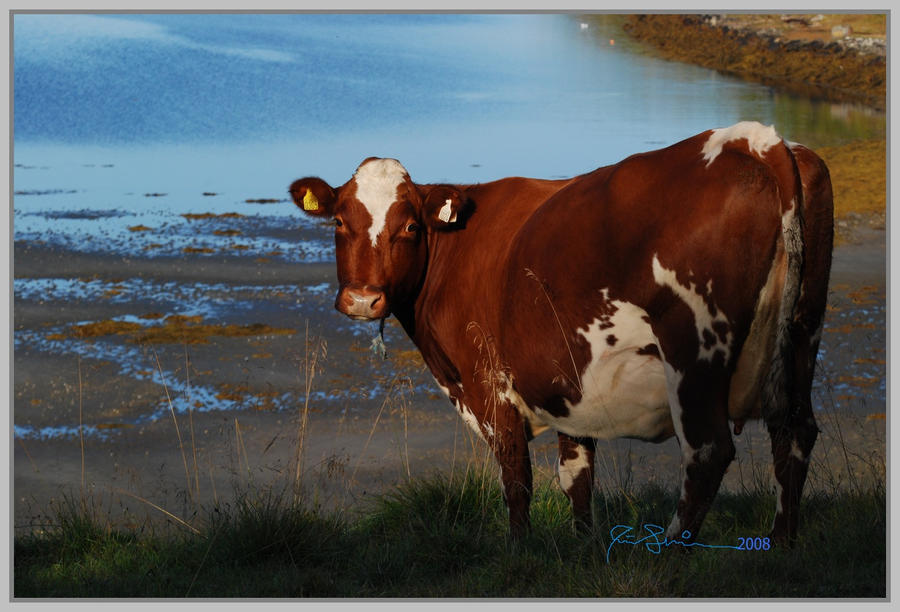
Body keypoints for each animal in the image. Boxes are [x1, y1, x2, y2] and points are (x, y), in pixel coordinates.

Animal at [288, 121, 833, 545]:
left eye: (408, 227)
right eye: (339, 222)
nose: (363, 299)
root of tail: (756, 140)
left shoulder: (490, 385)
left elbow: (516, 477)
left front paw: (519, 550)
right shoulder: (569, 380)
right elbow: (576, 475)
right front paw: (583, 546)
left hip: (696, 349)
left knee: (707, 451)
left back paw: (669, 551)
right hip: (801, 337)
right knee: (794, 433)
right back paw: (782, 543)